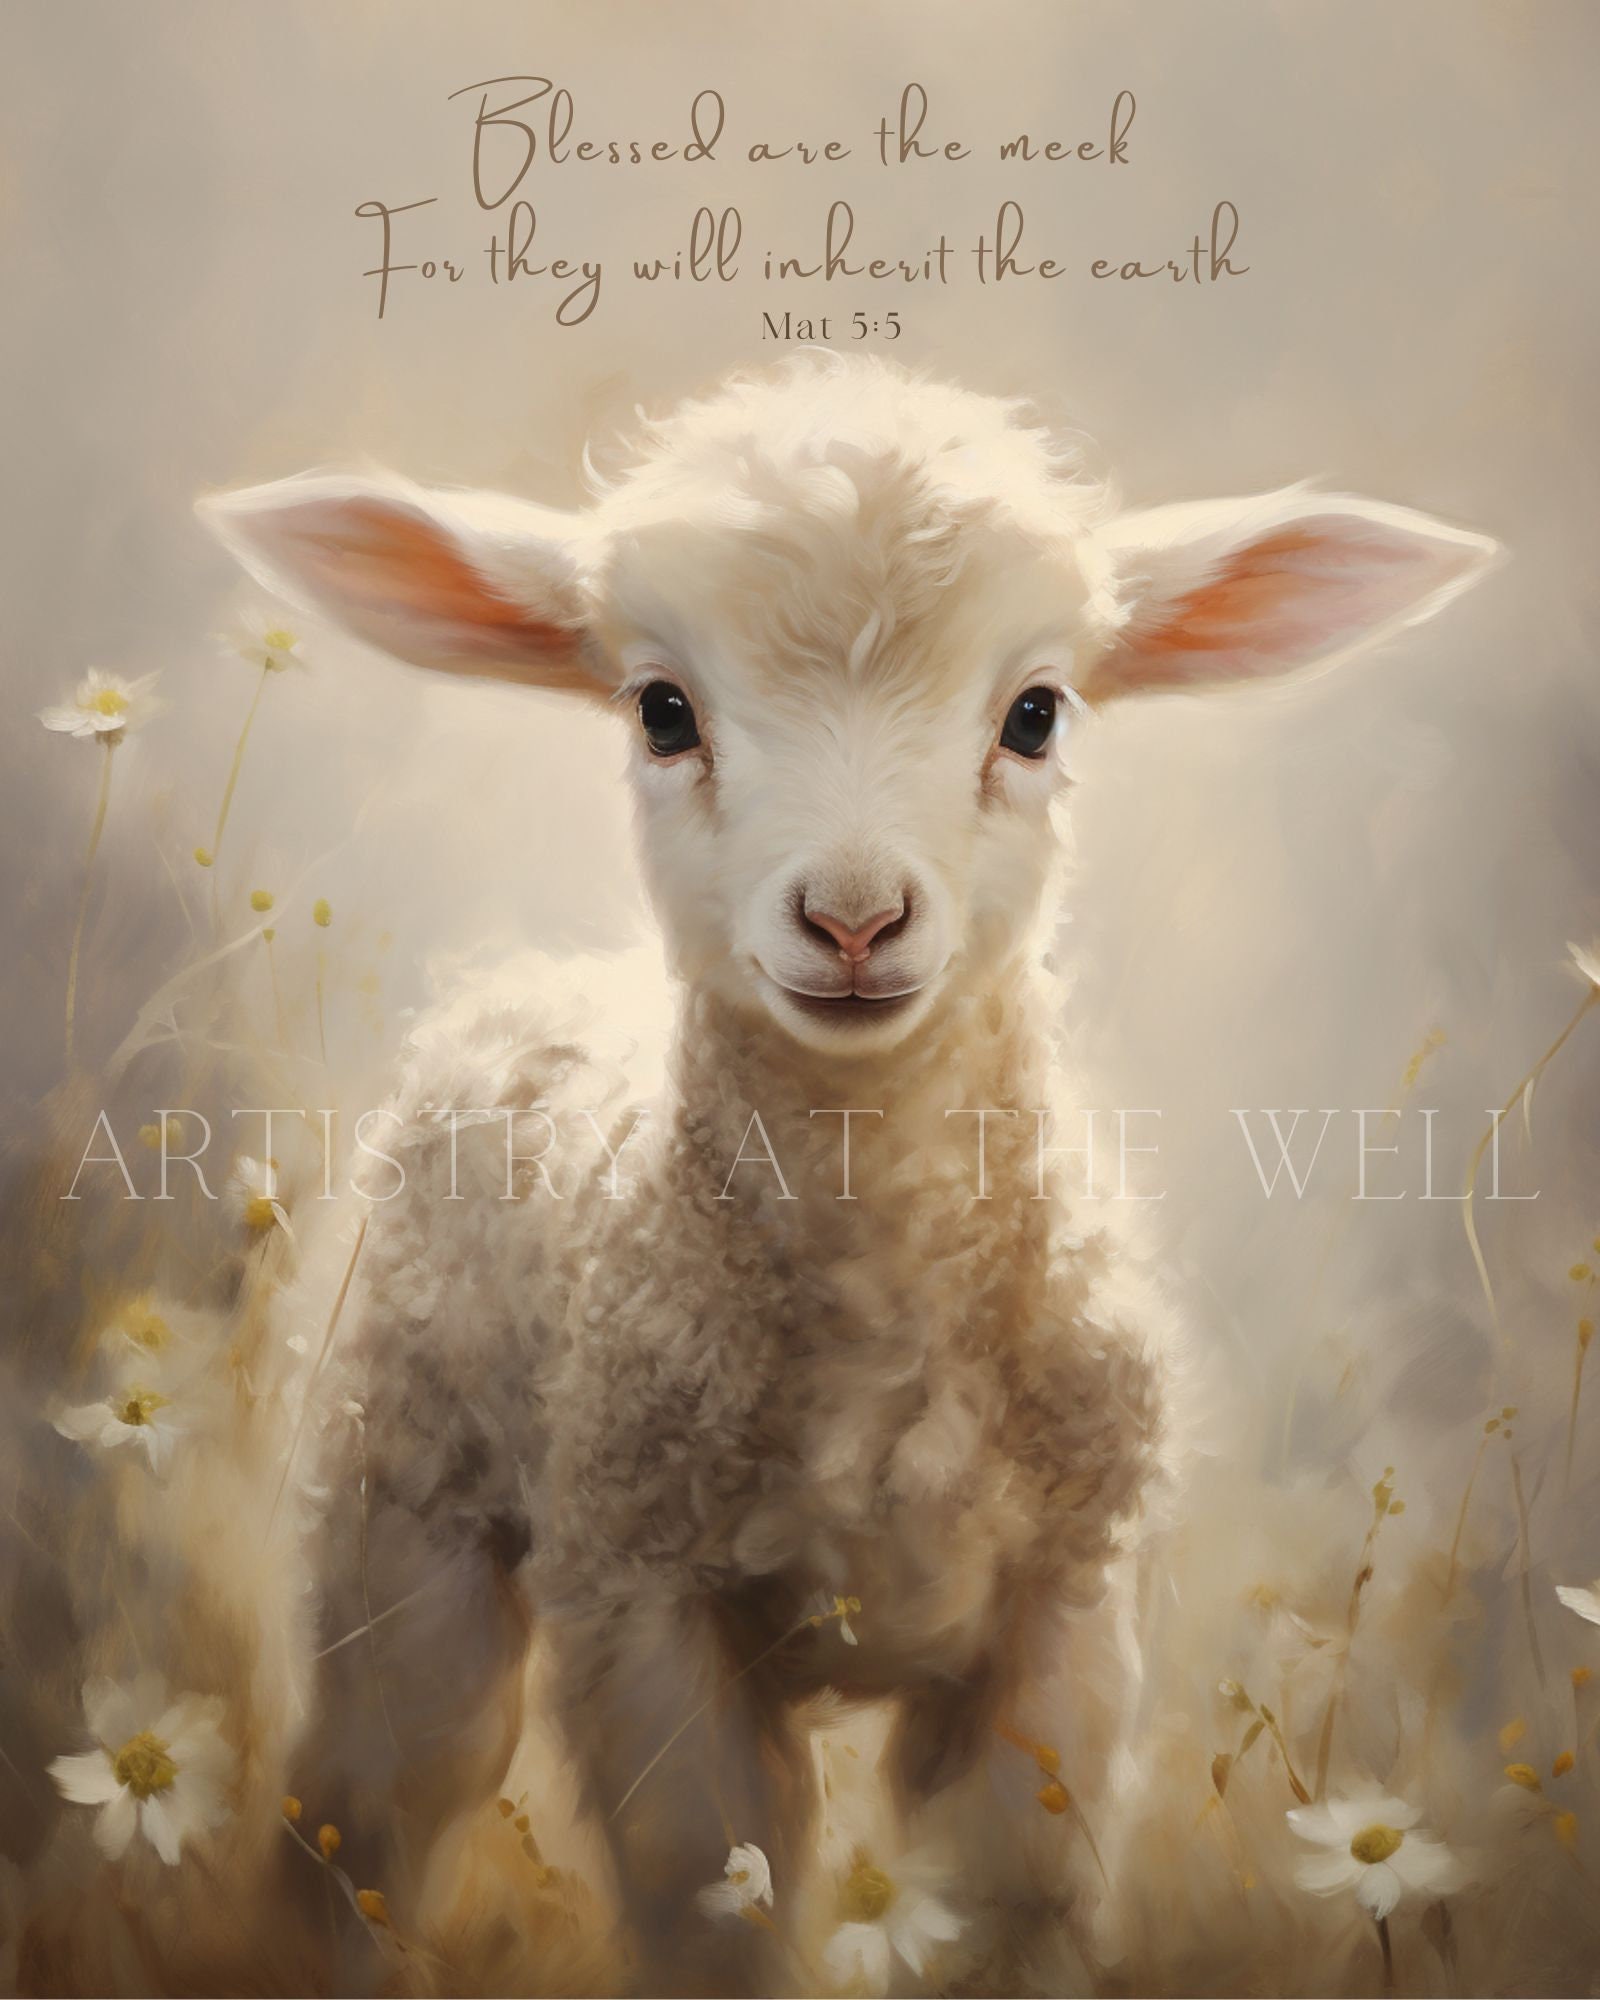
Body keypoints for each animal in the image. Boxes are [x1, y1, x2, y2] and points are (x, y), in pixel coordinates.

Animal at [202, 355, 1496, 1995]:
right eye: (663, 710)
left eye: (1035, 712)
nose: (855, 916)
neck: (875, 1349)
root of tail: (519, 984)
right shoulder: (645, 1606)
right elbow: (715, 1900)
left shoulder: (1061, 1624)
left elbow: (1011, 1908)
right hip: (402, 1506)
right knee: (370, 1802)